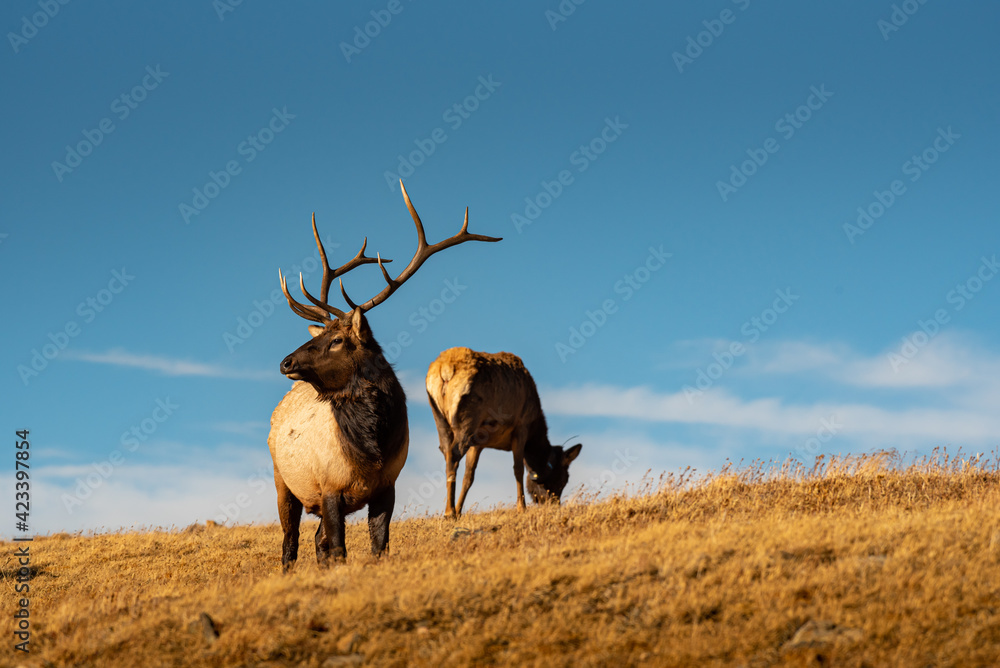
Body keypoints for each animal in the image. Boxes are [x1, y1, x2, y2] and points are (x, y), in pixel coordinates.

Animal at [268, 182, 501, 571]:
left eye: (336, 340)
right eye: (323, 335)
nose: (286, 362)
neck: (370, 451)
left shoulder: (386, 486)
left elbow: (378, 546)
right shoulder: (328, 486)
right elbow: (340, 549)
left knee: (314, 540)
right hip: (282, 481)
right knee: (290, 542)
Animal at [426, 347, 583, 518]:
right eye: (563, 479)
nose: (554, 504)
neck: (534, 428)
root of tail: (446, 371)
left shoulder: (478, 442)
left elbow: (469, 476)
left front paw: (460, 510)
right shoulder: (521, 426)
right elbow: (518, 469)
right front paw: (522, 508)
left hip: (439, 416)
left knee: (446, 451)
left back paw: (451, 510)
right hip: (469, 416)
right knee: (455, 453)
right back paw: (449, 512)